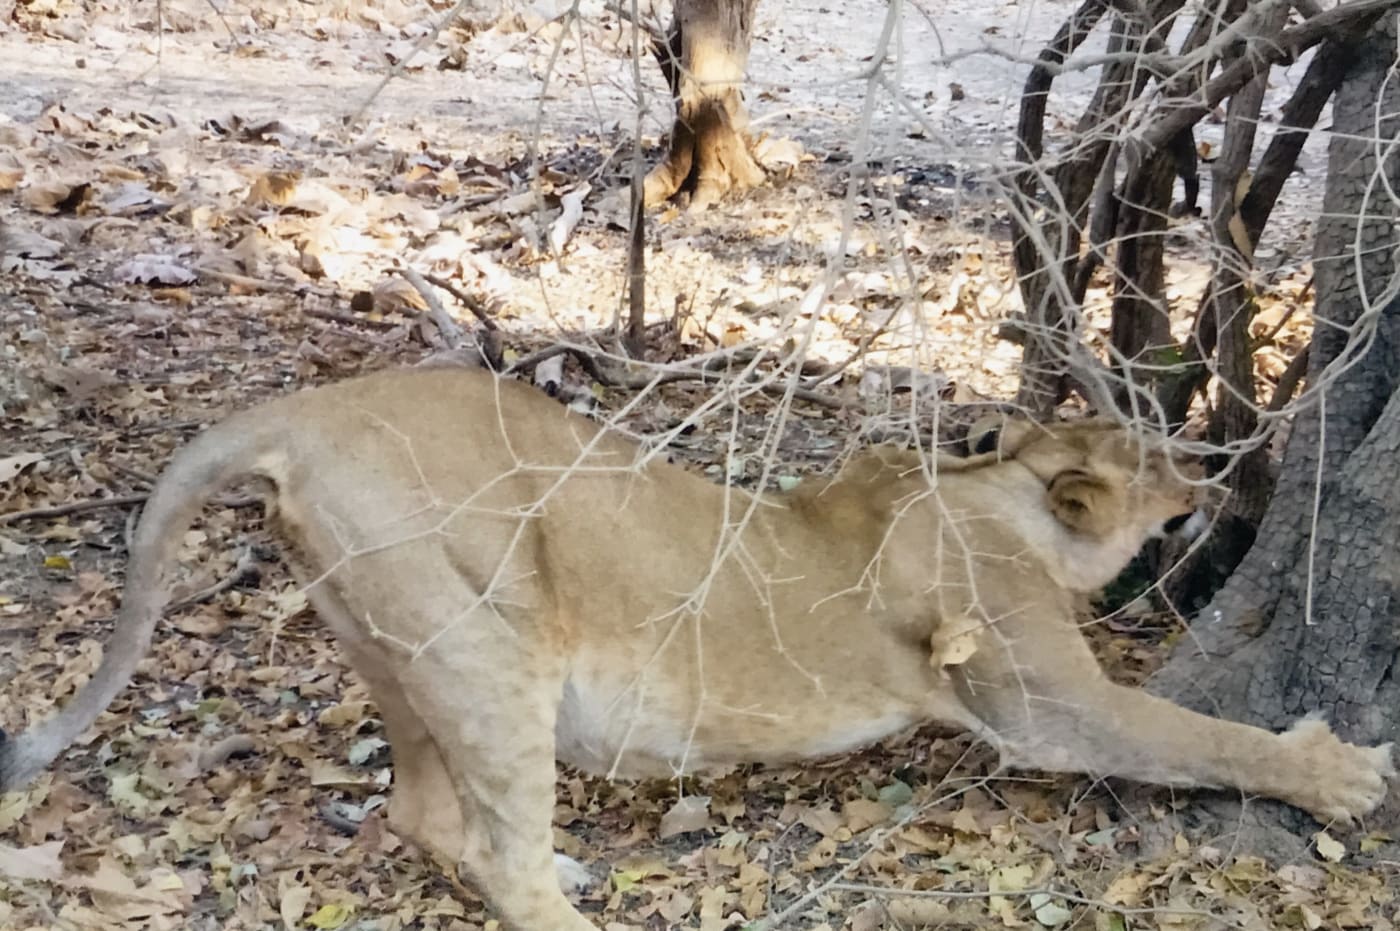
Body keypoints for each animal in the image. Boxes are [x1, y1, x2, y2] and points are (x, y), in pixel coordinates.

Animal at [0, 368, 1391, 930]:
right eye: (1151, 456)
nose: (1209, 460)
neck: (983, 491)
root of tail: (295, 411)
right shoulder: (1036, 697)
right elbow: (1187, 730)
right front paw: (1341, 774)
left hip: (394, 637)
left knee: (424, 813)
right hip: (488, 638)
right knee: (497, 858)